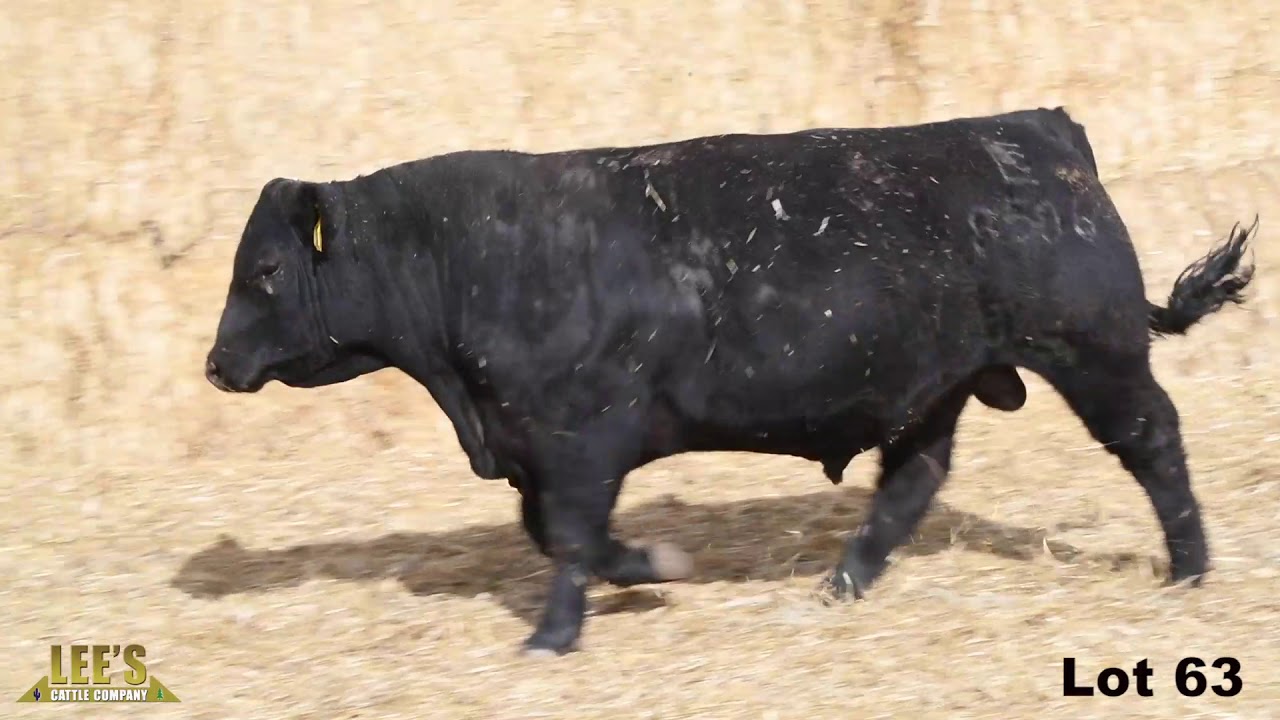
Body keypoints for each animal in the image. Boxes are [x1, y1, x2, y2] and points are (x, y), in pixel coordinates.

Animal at [204, 106, 1257, 656]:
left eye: (265, 270)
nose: (215, 365)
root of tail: (1039, 132)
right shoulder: (540, 449)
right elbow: (555, 535)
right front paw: (641, 573)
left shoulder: (581, 440)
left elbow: (571, 541)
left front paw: (562, 631)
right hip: (938, 389)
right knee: (910, 485)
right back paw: (840, 587)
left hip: (1095, 353)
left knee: (1156, 445)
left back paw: (1192, 568)